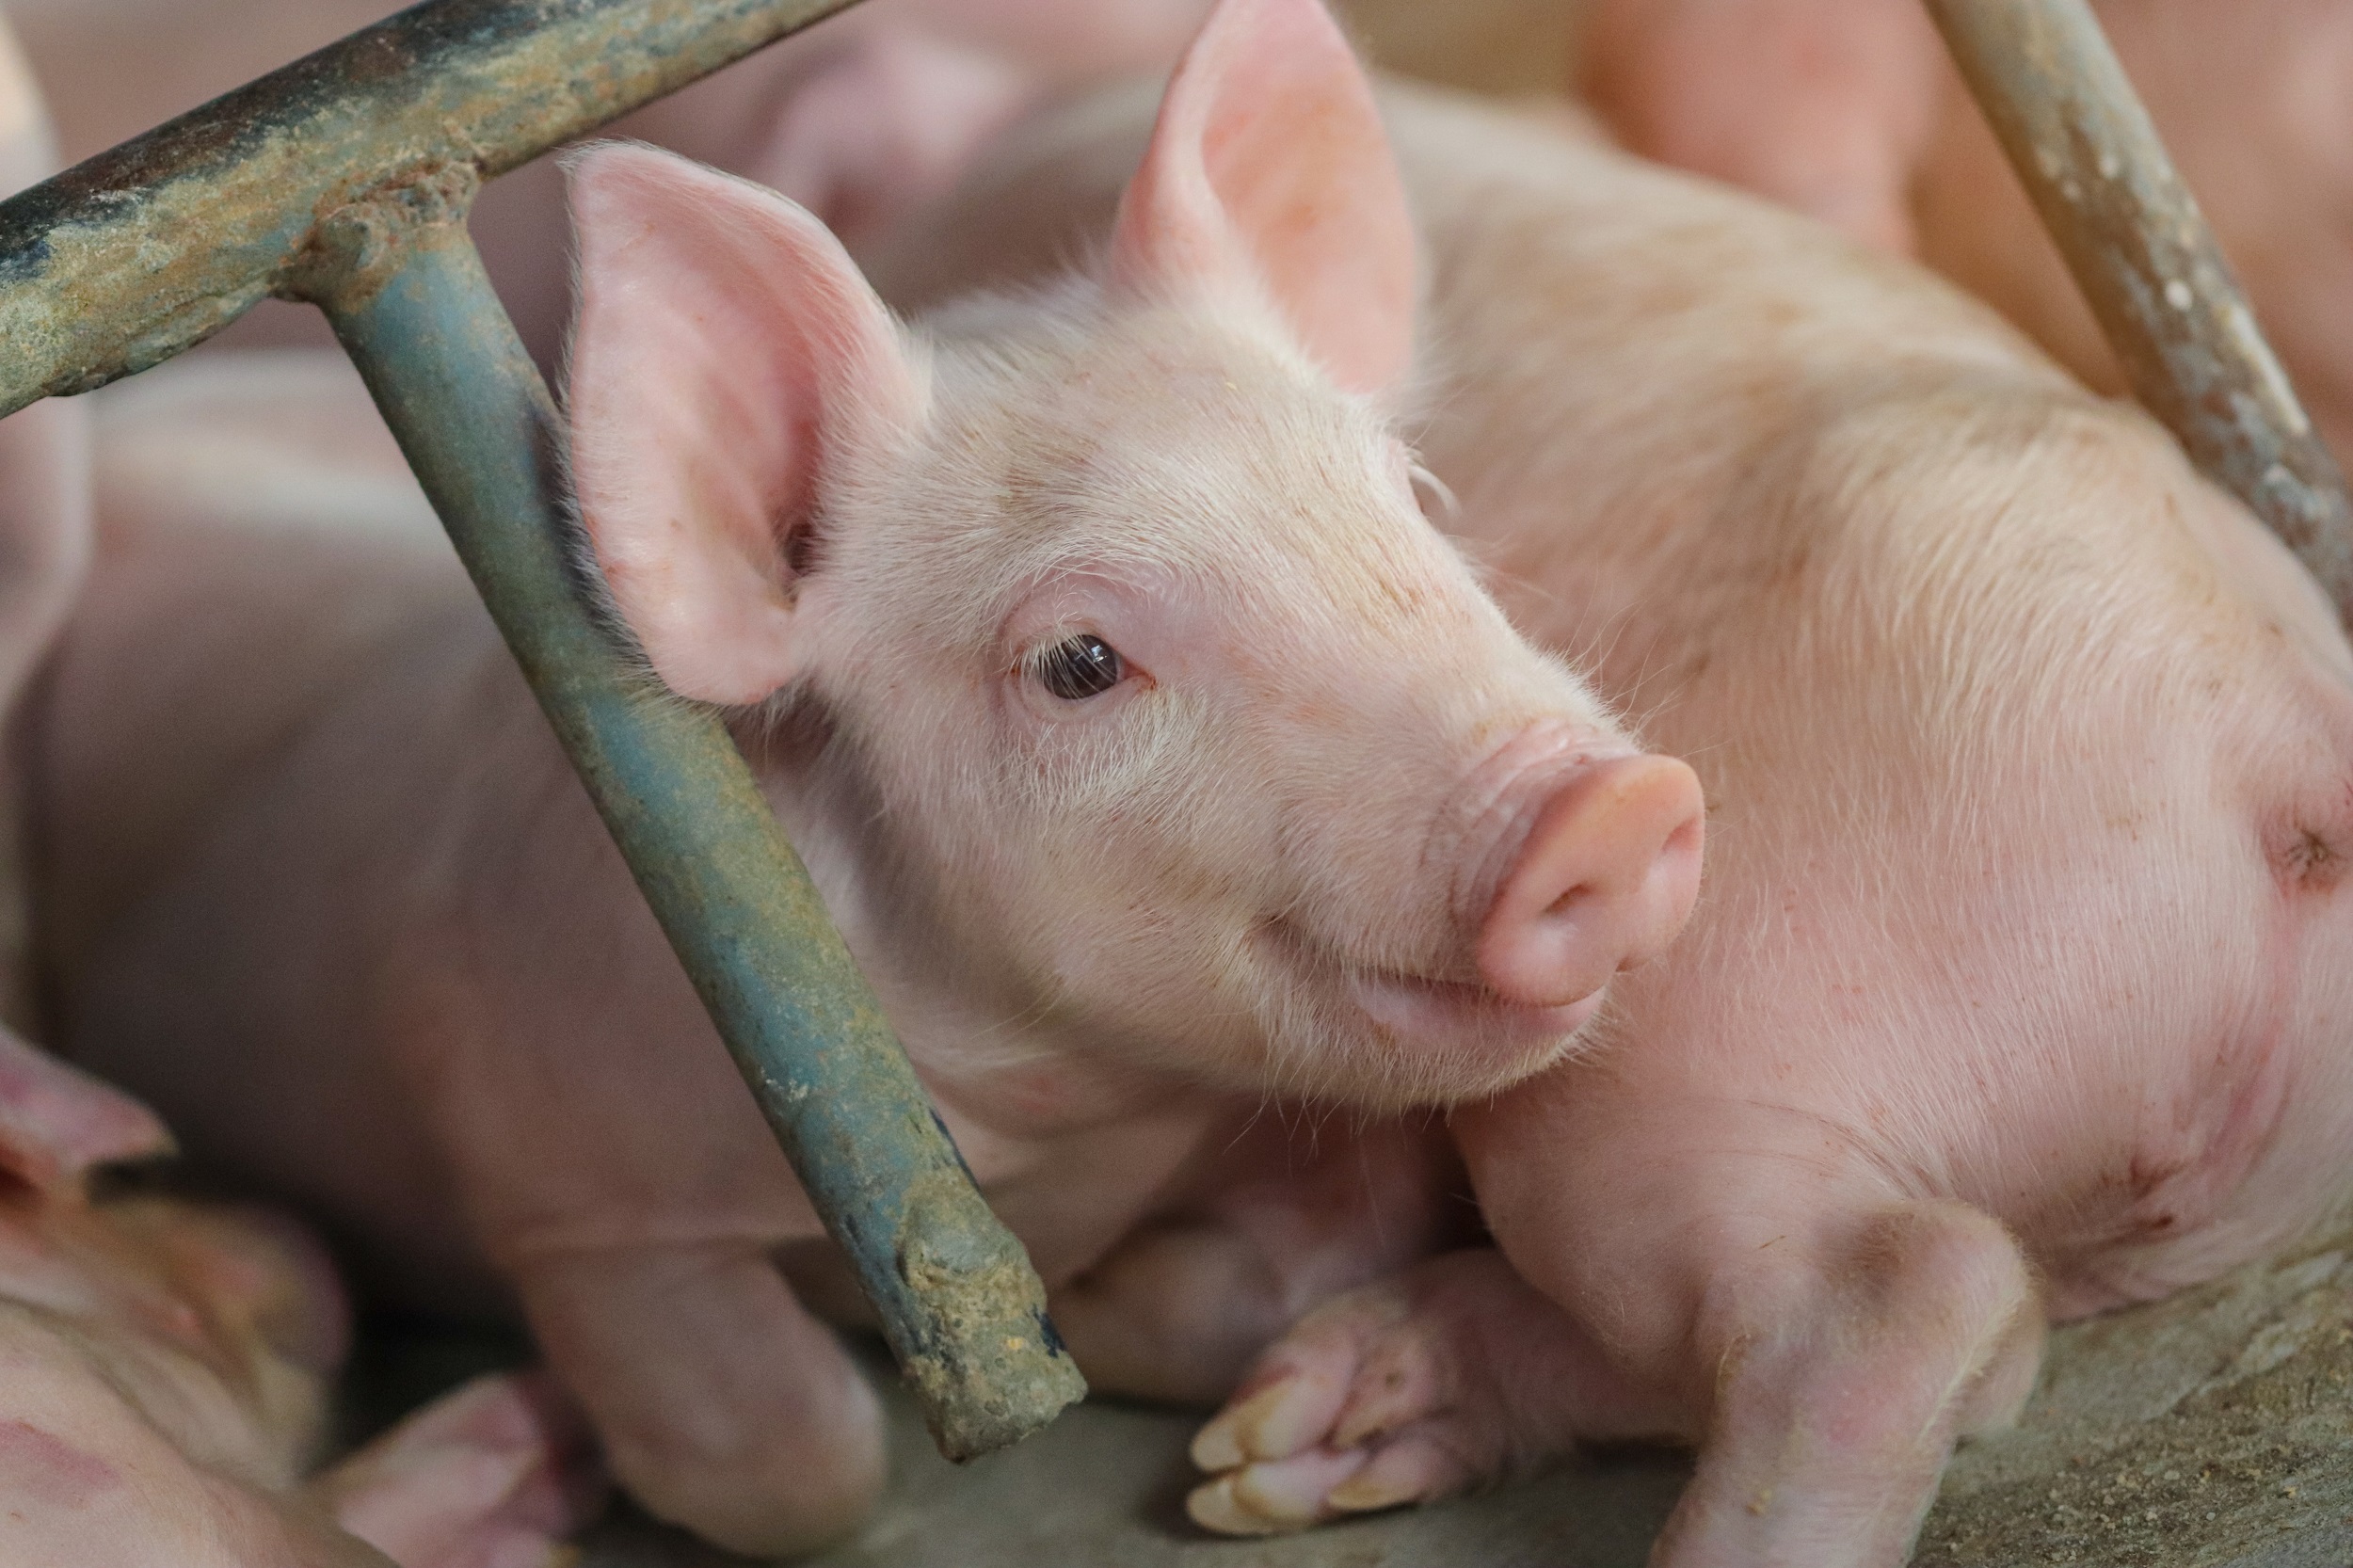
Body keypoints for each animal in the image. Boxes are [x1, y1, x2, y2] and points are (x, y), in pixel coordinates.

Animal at [30, 0, 1706, 1554]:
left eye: (1409, 494)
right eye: (1080, 662)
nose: (1613, 805)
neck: (1065, 1133)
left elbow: (1332, 1241)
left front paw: (1161, 1364)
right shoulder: (573, 1196)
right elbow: (801, 1459)